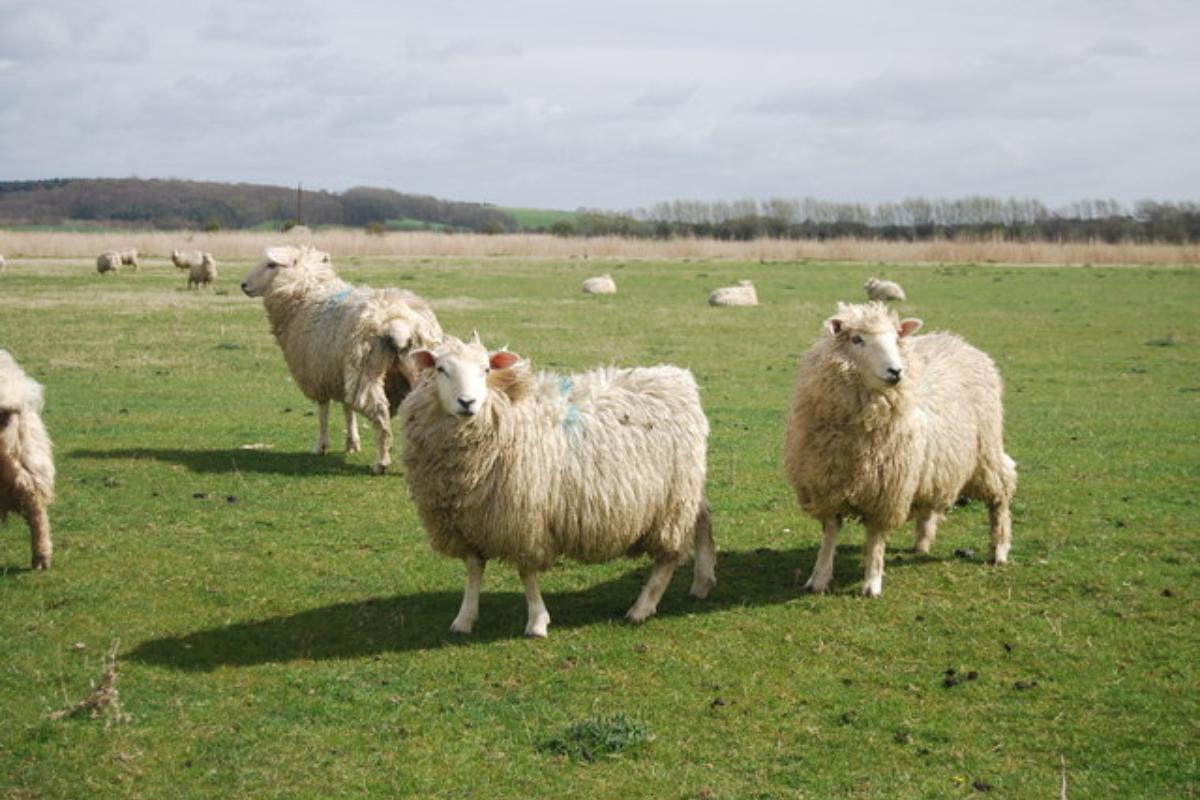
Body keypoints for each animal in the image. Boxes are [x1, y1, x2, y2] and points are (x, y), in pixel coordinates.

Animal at [241, 245, 443, 474]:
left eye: (271, 264)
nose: (243, 285)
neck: (306, 293)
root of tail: (397, 320)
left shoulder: (318, 374)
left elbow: (323, 413)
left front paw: (321, 446)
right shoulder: (340, 372)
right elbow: (348, 410)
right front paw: (352, 443)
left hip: (366, 370)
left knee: (380, 414)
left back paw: (381, 462)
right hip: (416, 367)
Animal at [401, 334, 716, 638]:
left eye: (486, 370)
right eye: (441, 369)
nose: (467, 402)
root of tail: (678, 377)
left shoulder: (524, 519)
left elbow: (526, 573)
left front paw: (537, 622)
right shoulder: (467, 521)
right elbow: (473, 569)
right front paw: (464, 618)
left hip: (672, 502)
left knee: (668, 557)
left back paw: (642, 607)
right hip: (686, 491)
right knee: (703, 517)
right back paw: (702, 583)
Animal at [784, 301, 1016, 598]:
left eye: (896, 339)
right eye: (857, 339)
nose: (896, 371)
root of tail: (958, 340)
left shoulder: (887, 488)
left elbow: (875, 537)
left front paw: (872, 583)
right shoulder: (827, 484)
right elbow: (831, 533)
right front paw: (819, 579)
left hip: (985, 451)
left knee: (1001, 490)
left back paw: (999, 550)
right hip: (935, 465)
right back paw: (922, 542)